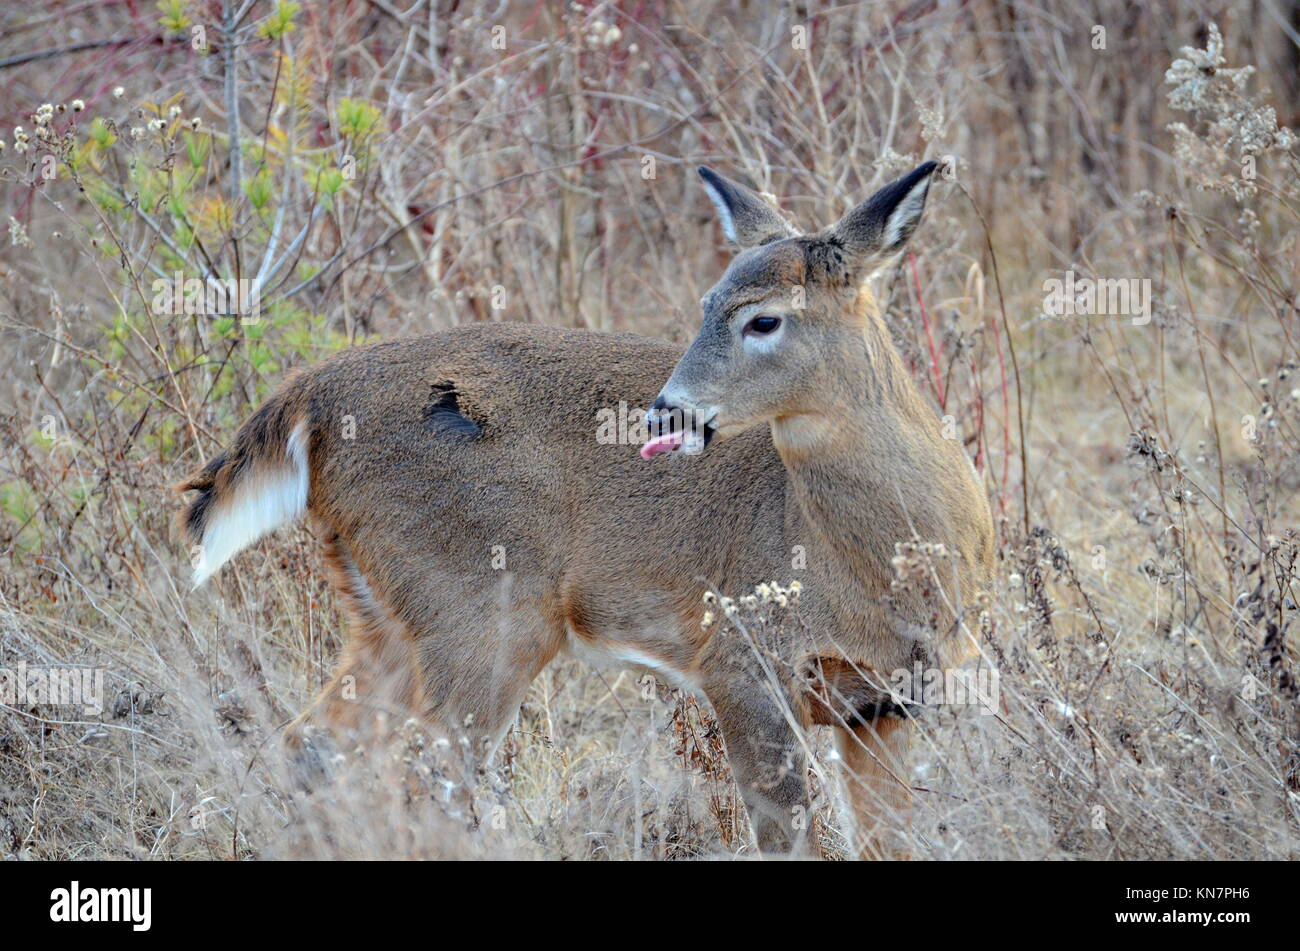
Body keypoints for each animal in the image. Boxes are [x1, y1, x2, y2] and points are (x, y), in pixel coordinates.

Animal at [177, 160, 995, 859]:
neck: (878, 568)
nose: (665, 413)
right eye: (706, 304)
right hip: (481, 607)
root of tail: (310, 394)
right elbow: (790, 837)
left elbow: (891, 840)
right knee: (431, 776)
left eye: (763, 320)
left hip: (382, 613)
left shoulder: (886, 702)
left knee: (312, 745)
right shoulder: (742, 659)